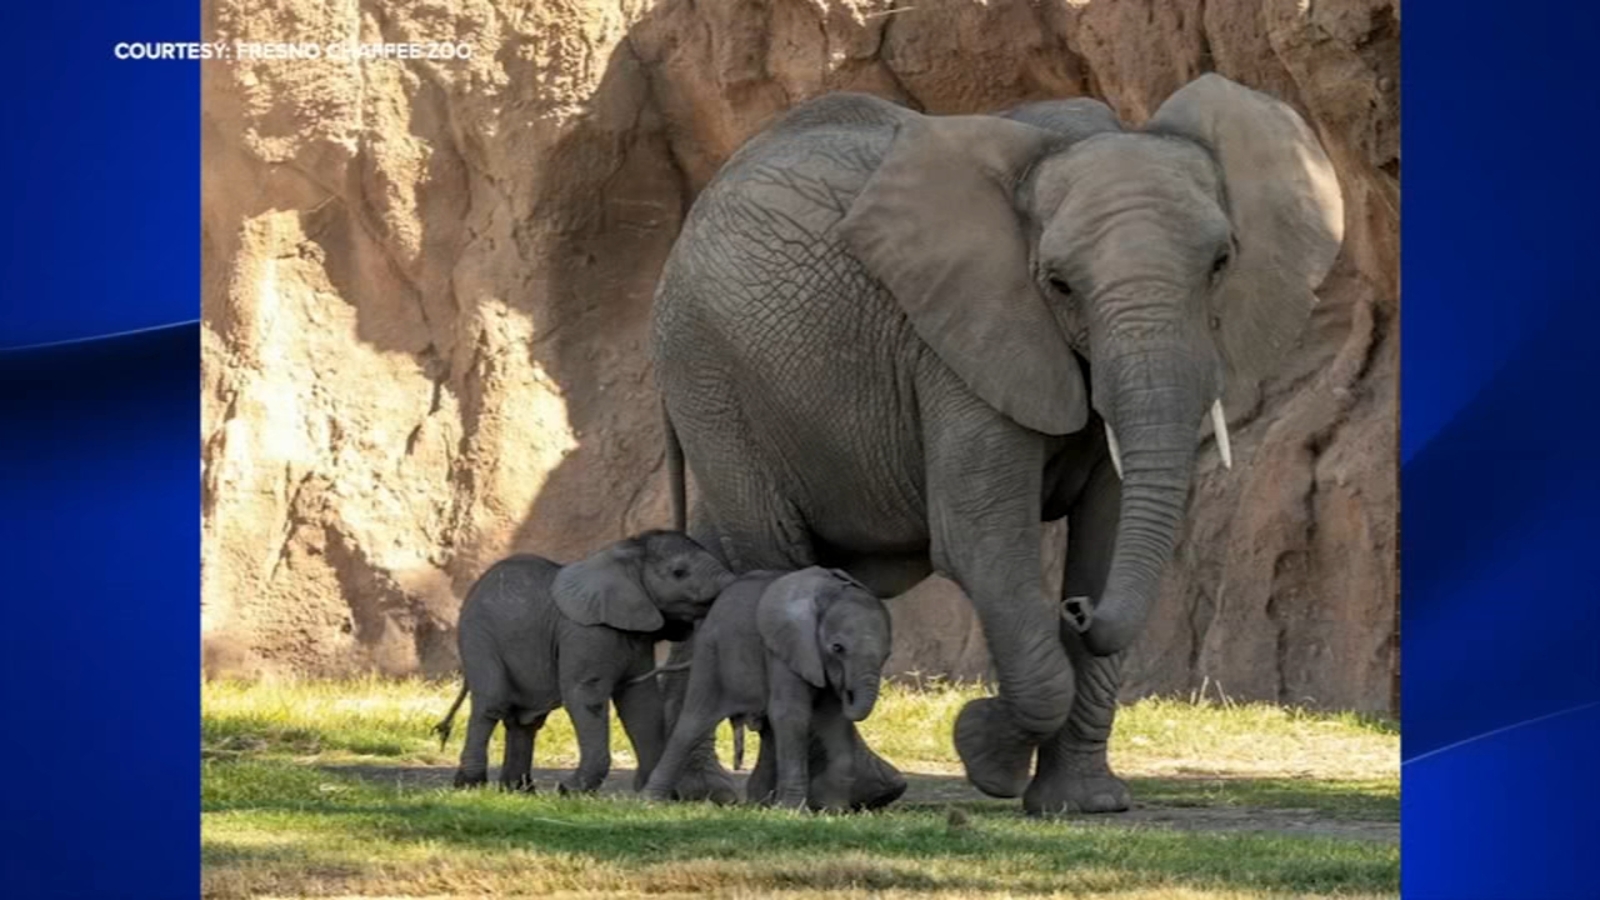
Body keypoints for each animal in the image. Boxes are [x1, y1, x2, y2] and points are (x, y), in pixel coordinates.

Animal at [432, 530, 735, 793]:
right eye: (679, 573)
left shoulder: (638, 639)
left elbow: (640, 702)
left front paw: (657, 794)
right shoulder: (585, 632)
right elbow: (586, 697)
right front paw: (570, 790)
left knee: (526, 720)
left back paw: (519, 790)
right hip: (478, 636)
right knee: (491, 704)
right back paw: (469, 784)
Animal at [641, 567, 902, 811]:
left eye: (887, 655)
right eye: (837, 648)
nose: (846, 690)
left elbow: (833, 721)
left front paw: (834, 810)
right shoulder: (784, 648)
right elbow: (792, 714)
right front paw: (794, 811)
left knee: (769, 733)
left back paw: (759, 804)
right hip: (712, 653)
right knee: (694, 722)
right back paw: (652, 801)